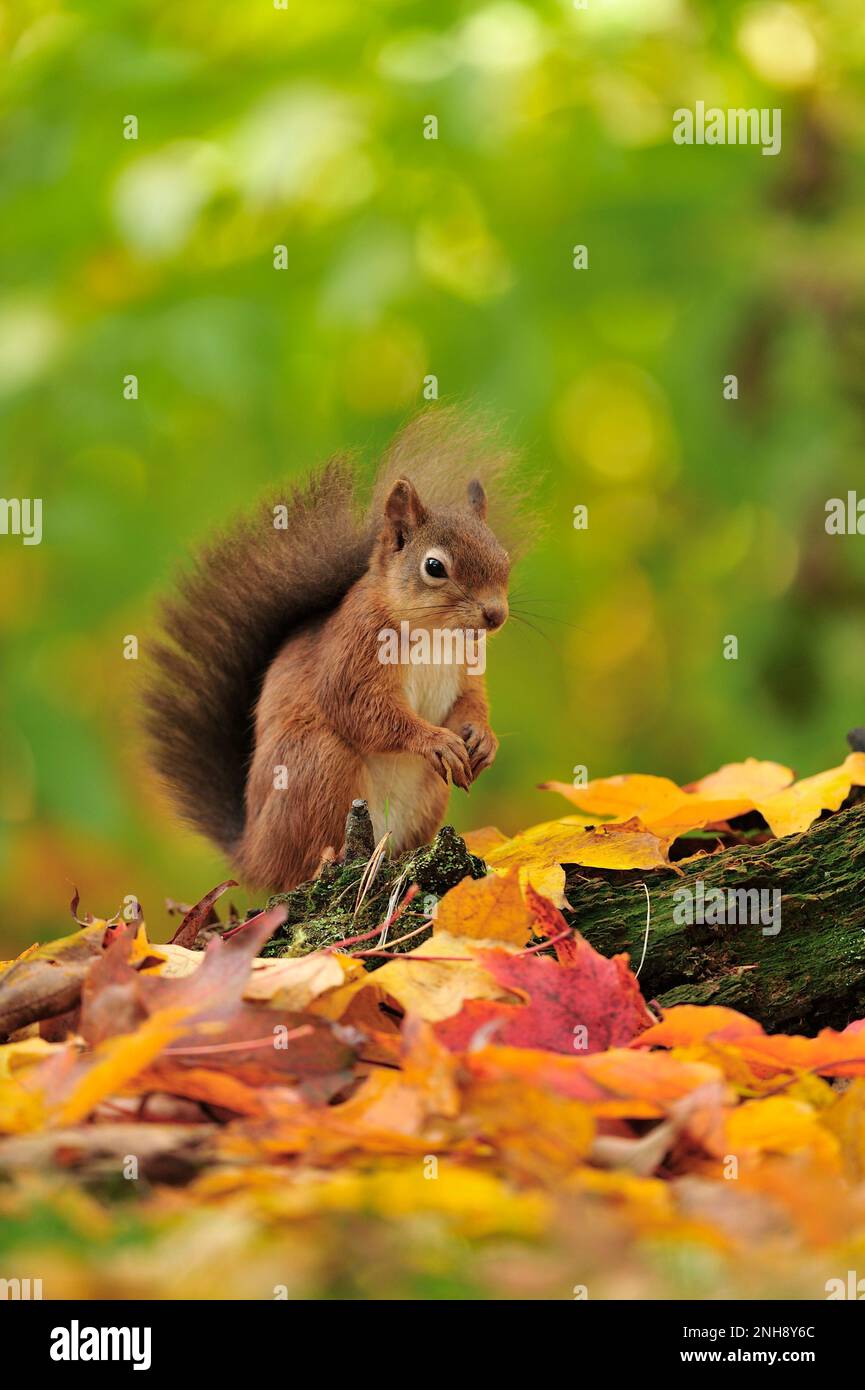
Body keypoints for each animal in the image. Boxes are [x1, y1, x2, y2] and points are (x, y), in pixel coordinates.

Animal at [143, 411, 520, 892]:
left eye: (502, 557)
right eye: (434, 567)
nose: (495, 615)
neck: (434, 632)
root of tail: (254, 856)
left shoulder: (466, 664)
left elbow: (470, 702)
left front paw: (483, 738)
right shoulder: (353, 651)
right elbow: (360, 707)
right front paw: (435, 739)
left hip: (427, 794)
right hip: (319, 764)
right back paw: (330, 862)